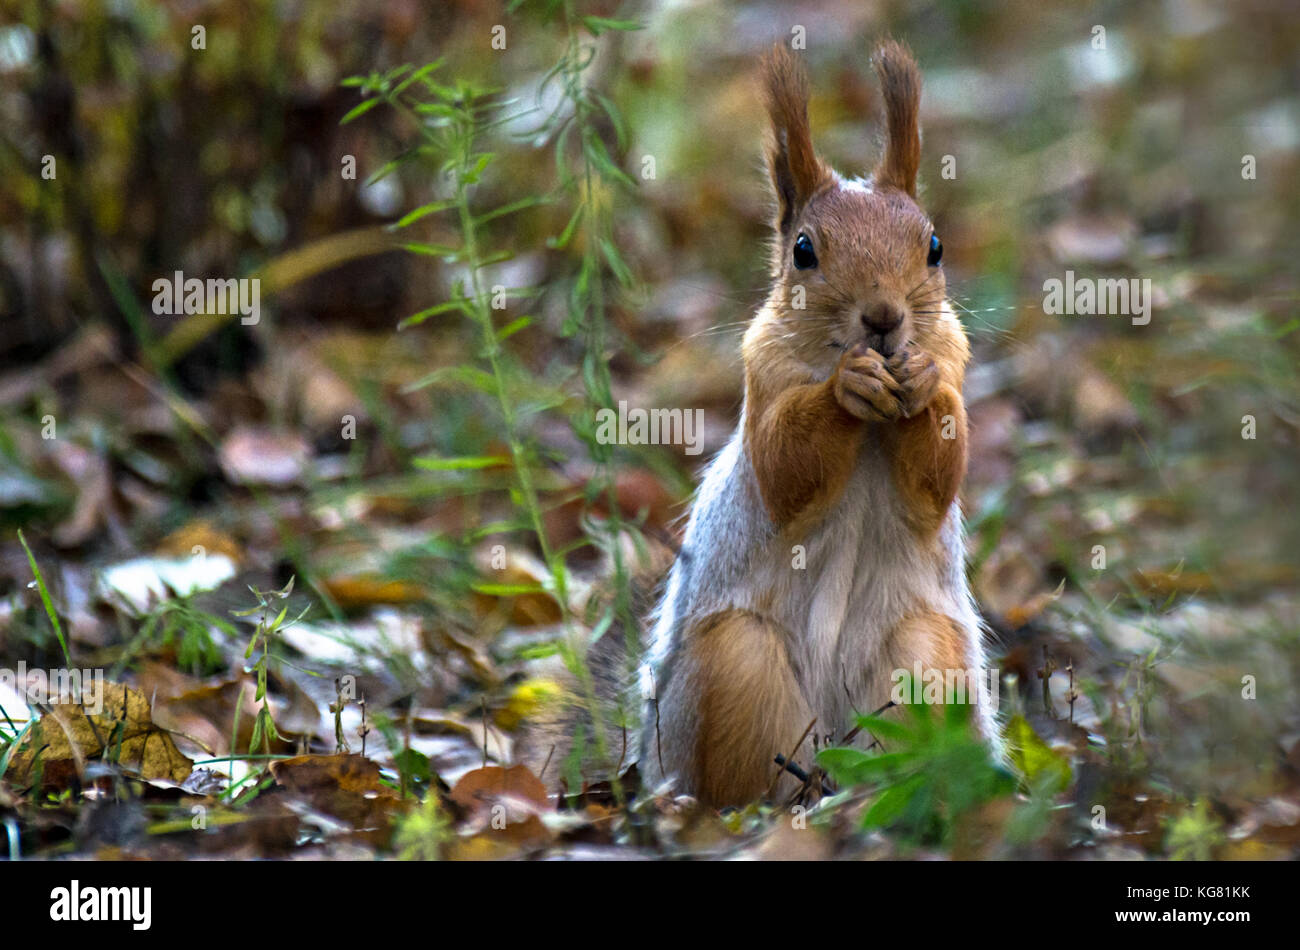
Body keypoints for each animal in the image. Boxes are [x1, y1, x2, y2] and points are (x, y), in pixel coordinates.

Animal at [635, 41, 997, 807]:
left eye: (935, 246)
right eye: (804, 250)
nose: (884, 319)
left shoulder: (955, 362)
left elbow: (938, 478)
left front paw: (922, 385)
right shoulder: (763, 378)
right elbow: (783, 466)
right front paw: (845, 388)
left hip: (927, 659)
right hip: (735, 665)